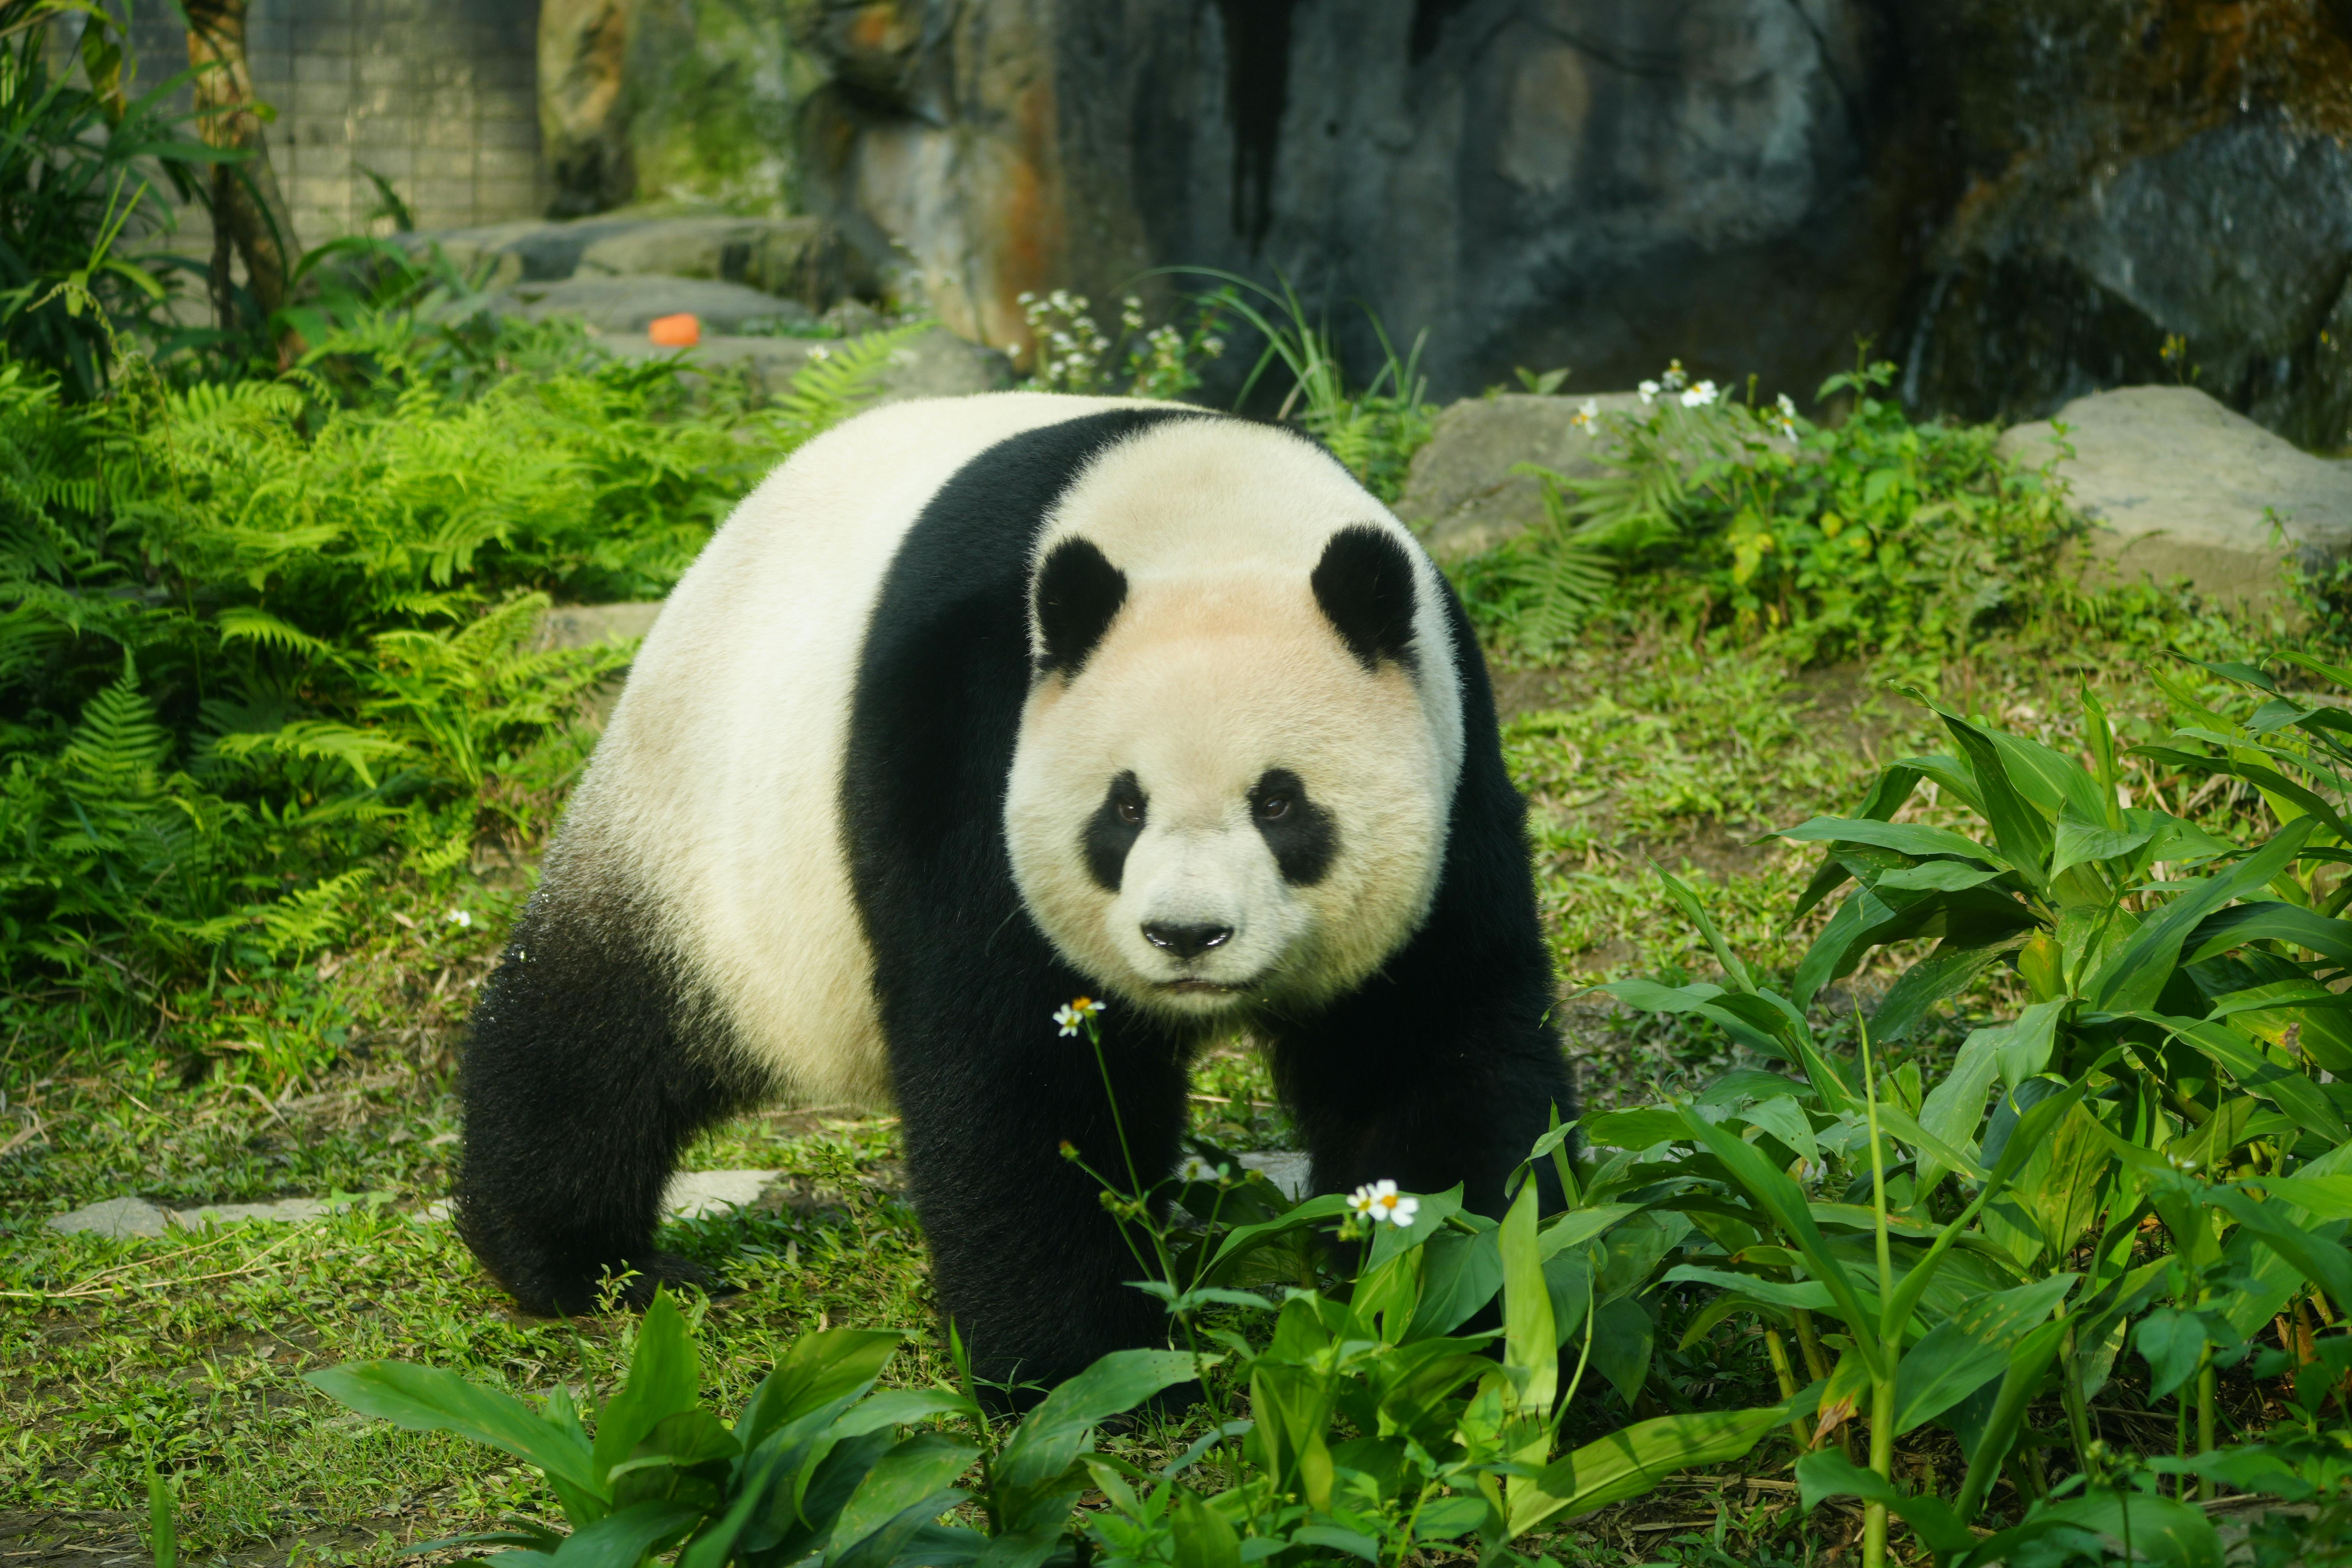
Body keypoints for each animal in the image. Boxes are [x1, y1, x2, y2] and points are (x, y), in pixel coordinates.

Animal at [455, 394, 1573, 1395]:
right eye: (1123, 806)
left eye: (1280, 802)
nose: (1187, 935)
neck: (1211, 517)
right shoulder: (973, 732)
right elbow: (1008, 1069)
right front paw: (1079, 1365)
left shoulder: (1452, 759)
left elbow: (1430, 1039)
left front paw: (1460, 1297)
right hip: (705, 829)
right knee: (597, 1033)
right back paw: (585, 1260)